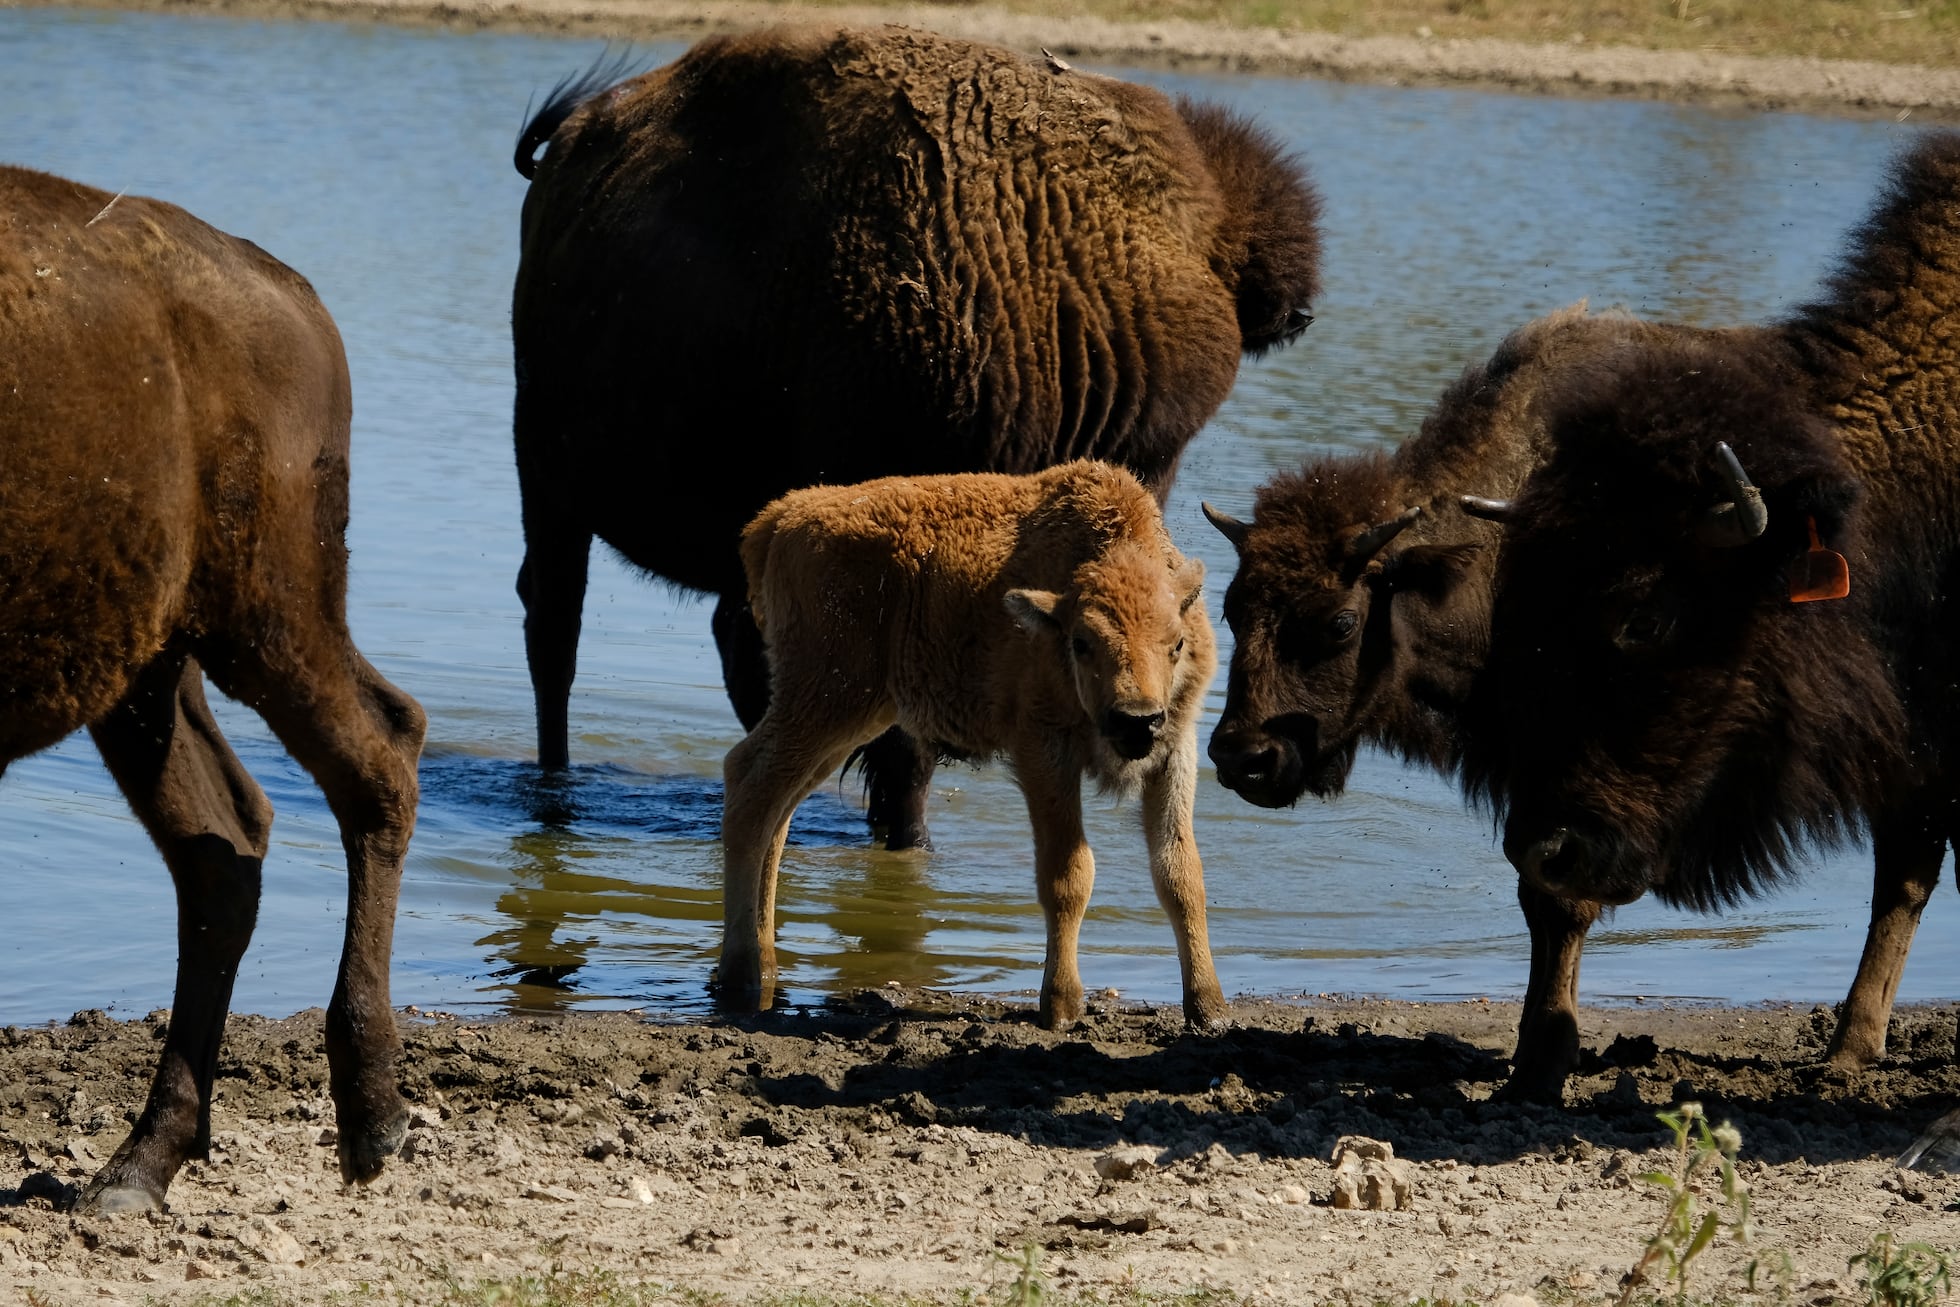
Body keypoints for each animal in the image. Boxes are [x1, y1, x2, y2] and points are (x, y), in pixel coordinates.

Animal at [0, 166, 426, 1209]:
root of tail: (288, 288)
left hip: (267, 611)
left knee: (379, 755)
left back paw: (373, 1118)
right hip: (150, 672)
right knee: (221, 846)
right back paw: (137, 1163)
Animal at [512, 24, 1320, 850]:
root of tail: (577, 140)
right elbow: (898, 738)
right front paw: (908, 845)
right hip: (544, 475)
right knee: (555, 629)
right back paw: (554, 789)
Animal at [1462, 131, 1960, 1075]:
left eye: (1645, 617)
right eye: (1521, 612)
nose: (1544, 850)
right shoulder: (1913, 739)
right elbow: (1904, 874)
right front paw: (1849, 1049)